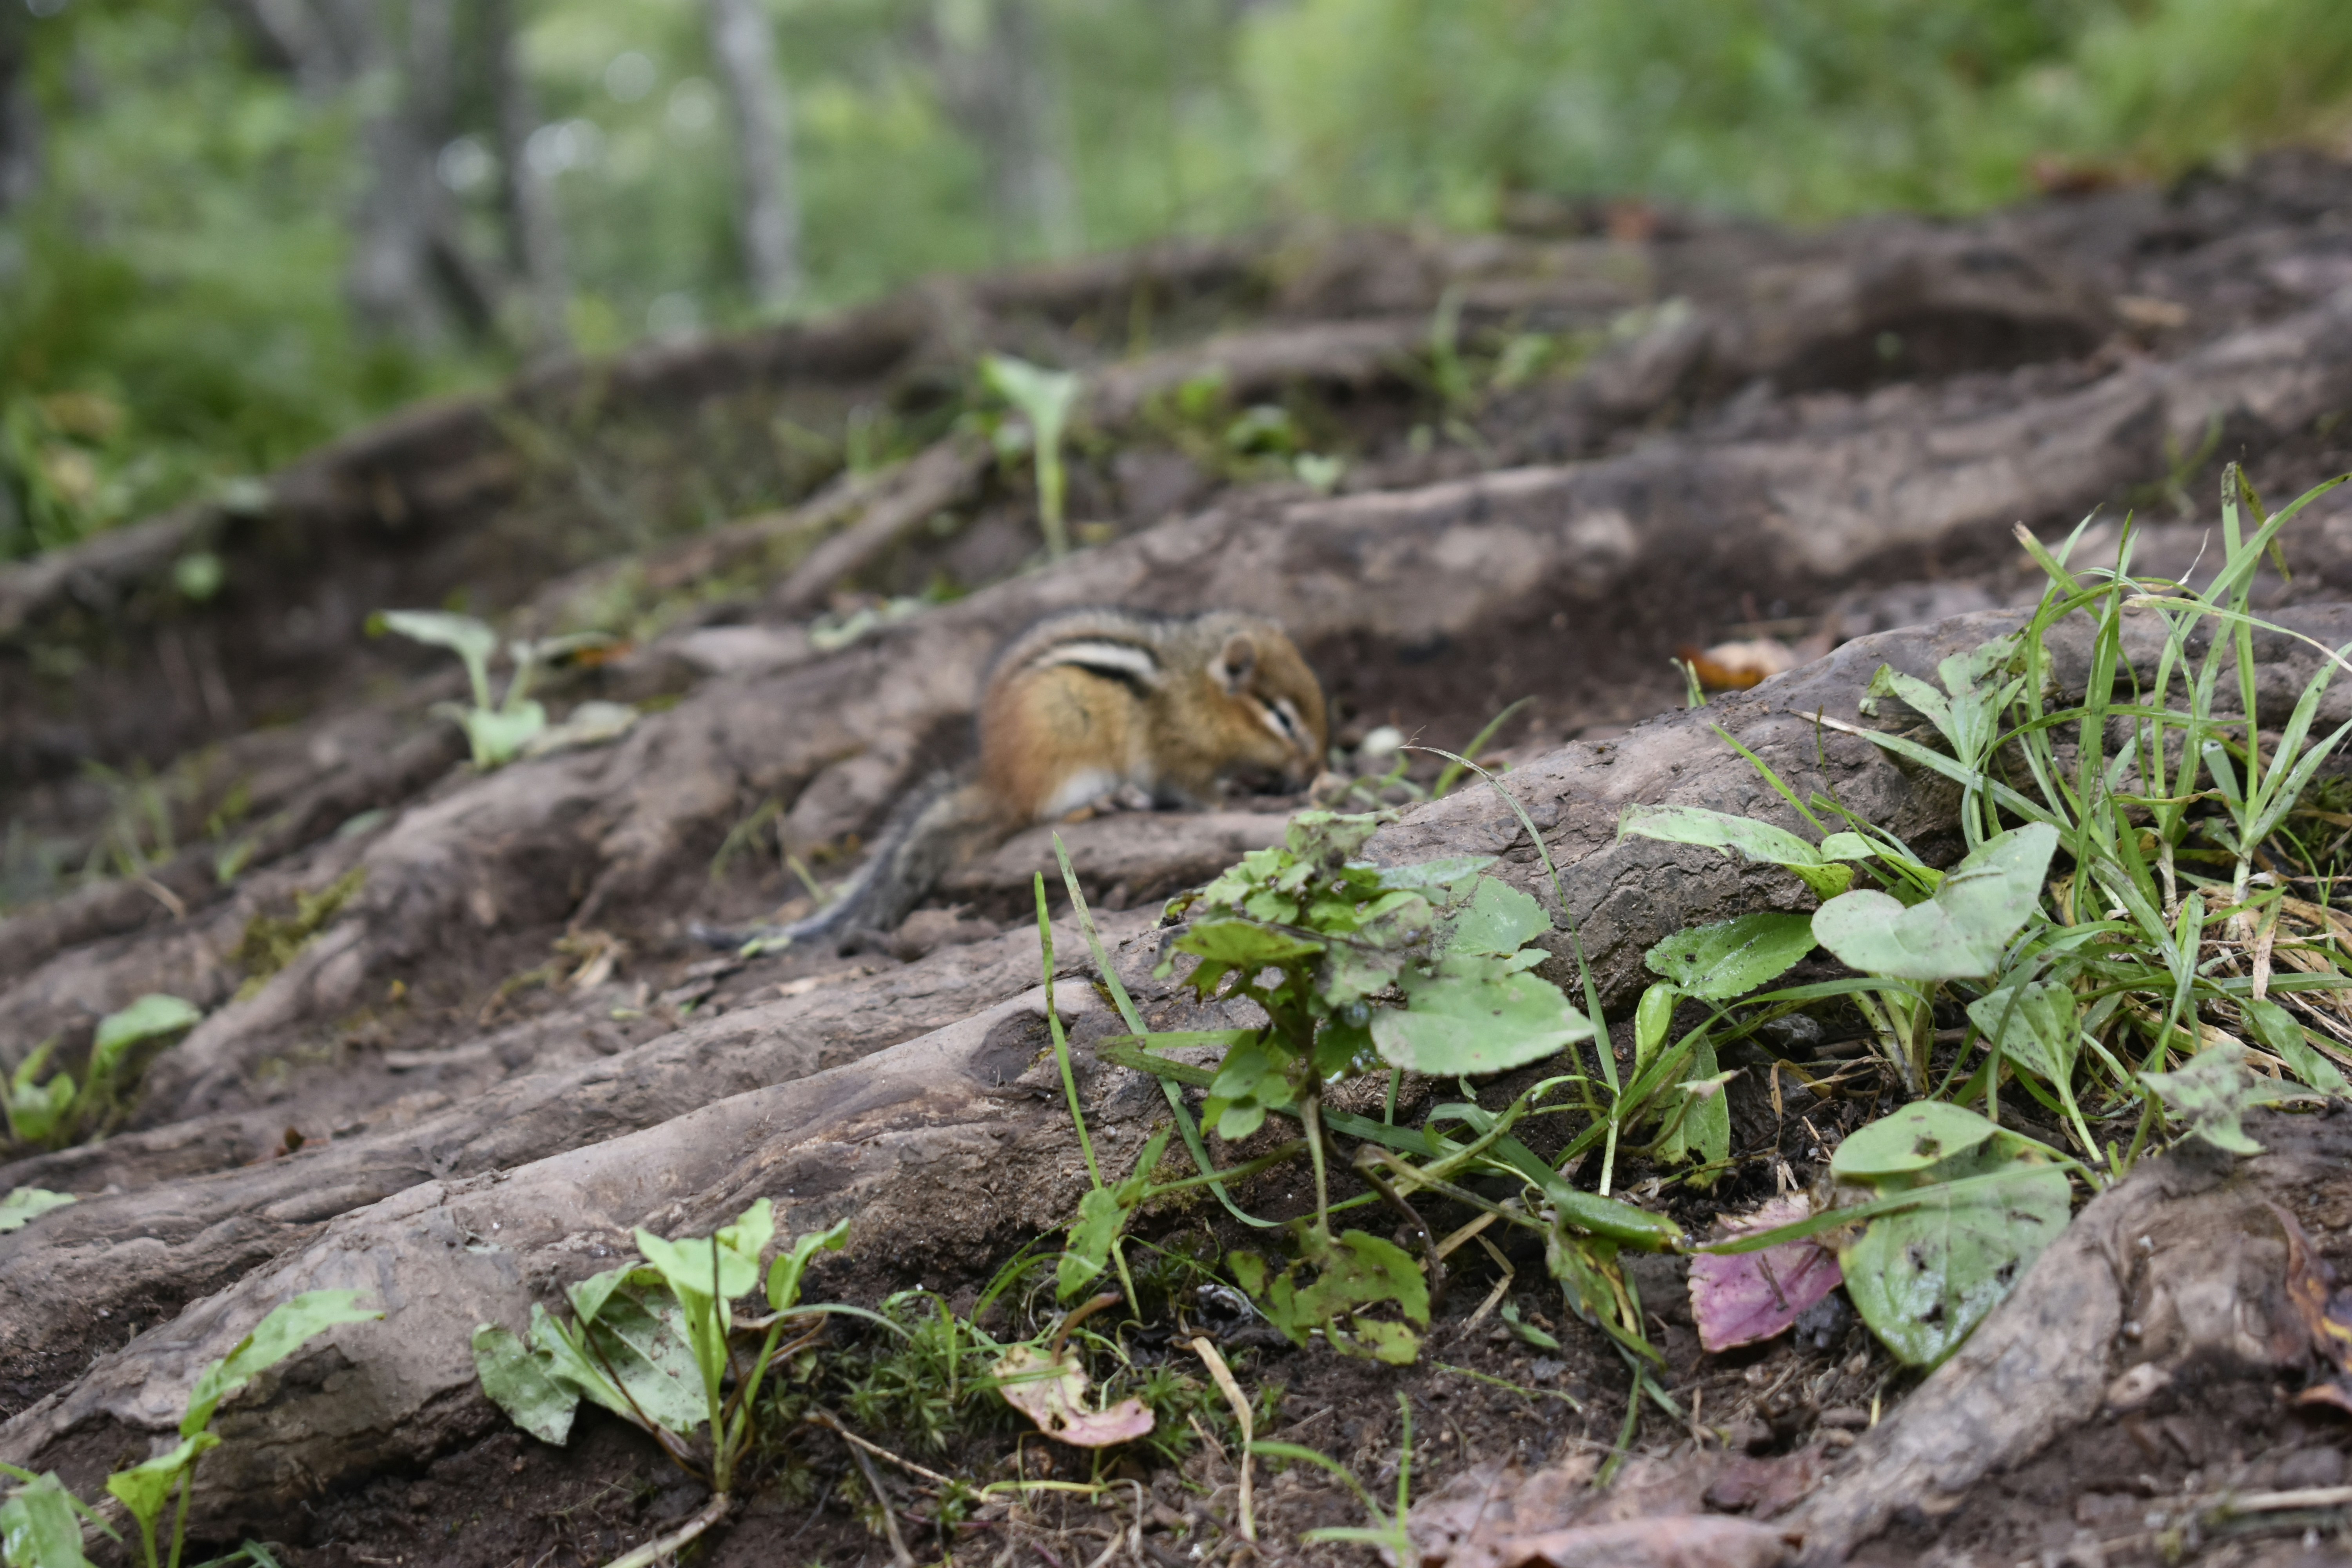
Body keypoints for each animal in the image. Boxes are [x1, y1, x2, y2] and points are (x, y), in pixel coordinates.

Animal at [698, 607, 1329, 952]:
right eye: (1283, 718)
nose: (1317, 769)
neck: (1193, 684)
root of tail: (998, 779)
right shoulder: (1175, 754)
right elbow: (1196, 792)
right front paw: (1235, 795)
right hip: (1066, 755)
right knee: (1044, 811)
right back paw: (1111, 800)